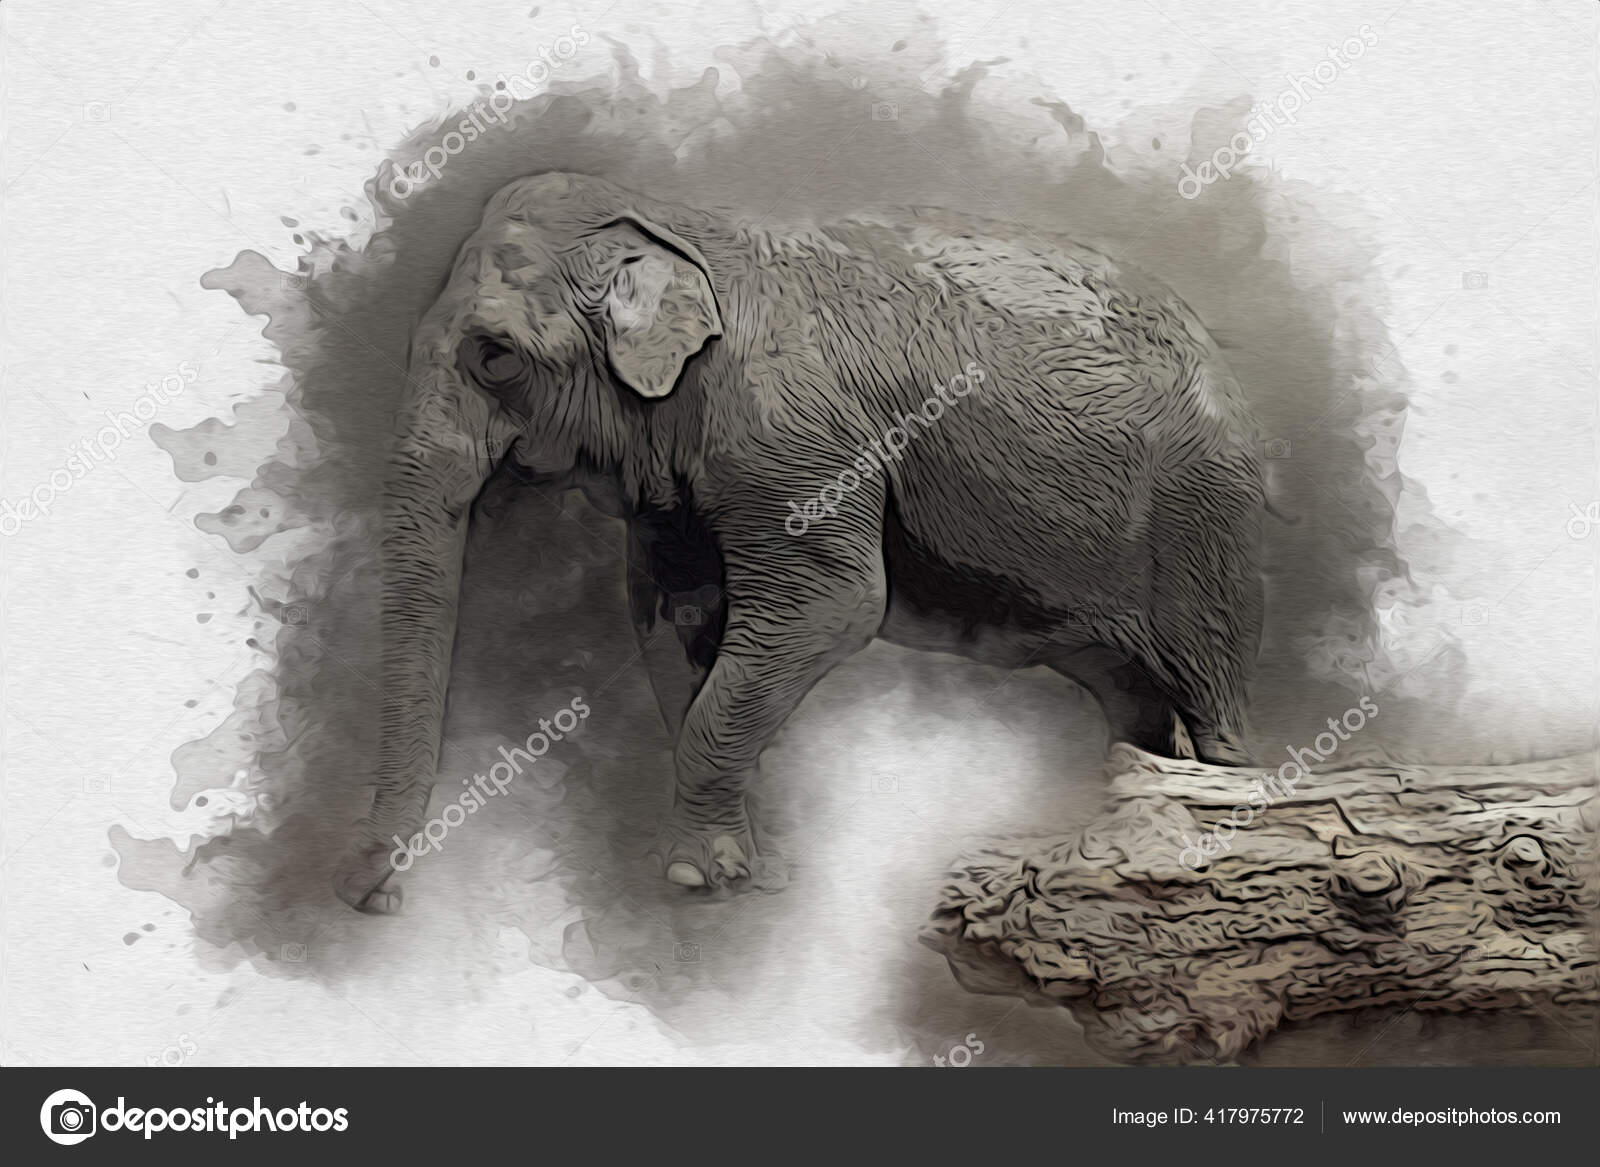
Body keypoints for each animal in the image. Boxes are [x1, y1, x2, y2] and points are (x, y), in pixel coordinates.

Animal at [333, 170, 1265, 913]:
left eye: (494, 356)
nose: (373, 898)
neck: (668, 217)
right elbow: (675, 625)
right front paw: (736, 874)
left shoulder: (793, 437)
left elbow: (837, 604)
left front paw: (691, 881)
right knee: (1131, 692)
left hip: (1205, 519)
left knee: (1210, 692)